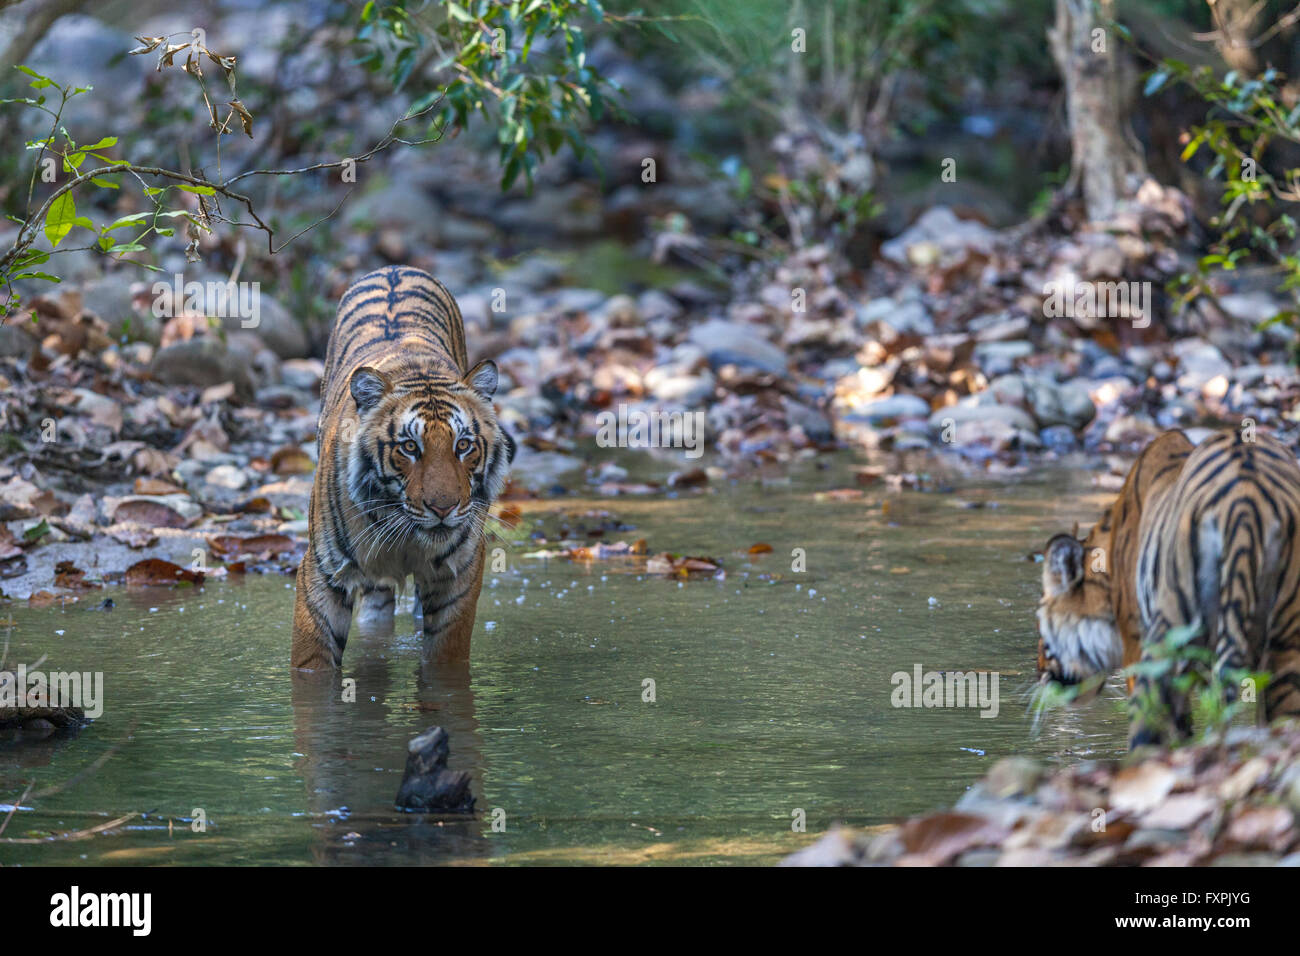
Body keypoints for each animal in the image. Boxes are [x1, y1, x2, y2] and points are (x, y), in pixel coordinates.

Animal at [291, 265, 516, 671]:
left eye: (463, 446)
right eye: (410, 447)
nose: (443, 508)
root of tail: (394, 268)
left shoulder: (458, 575)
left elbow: (445, 658)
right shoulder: (322, 570)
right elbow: (311, 660)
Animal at [1036, 428, 1300, 748]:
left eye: (1040, 630)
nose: (1038, 673)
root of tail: (1246, 504)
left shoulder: (1137, 644)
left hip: (1167, 633)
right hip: (1287, 643)